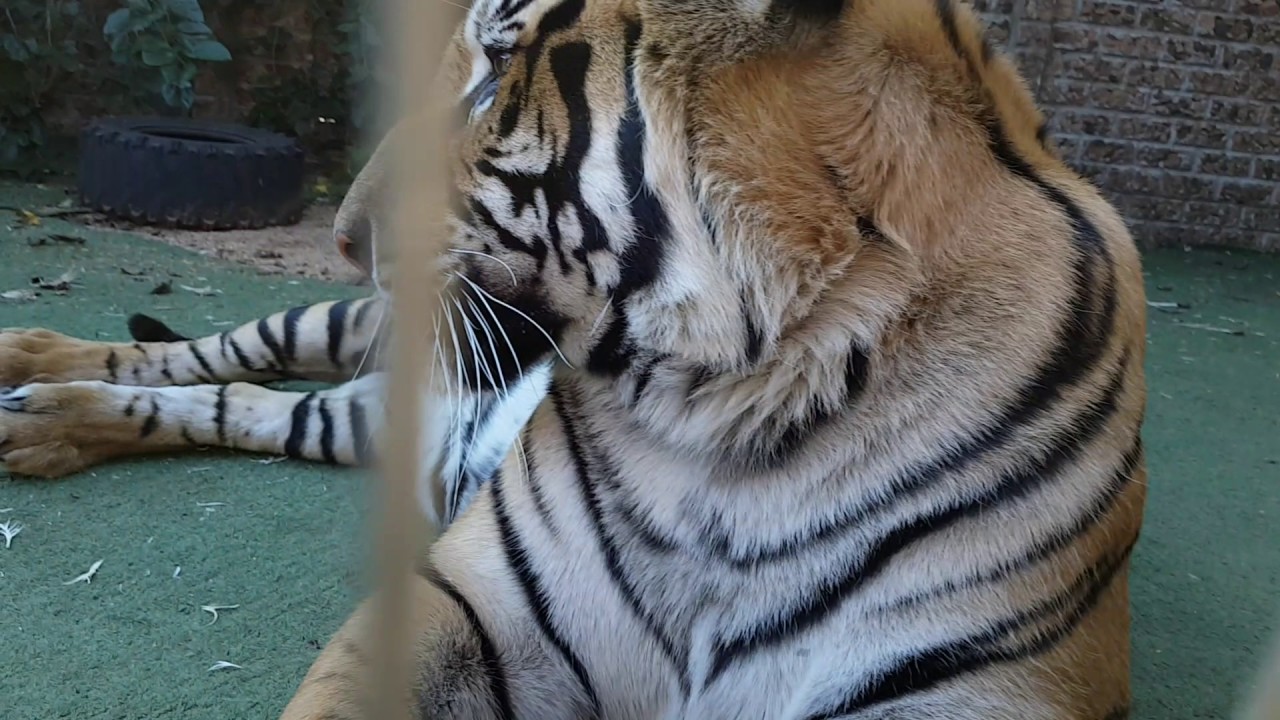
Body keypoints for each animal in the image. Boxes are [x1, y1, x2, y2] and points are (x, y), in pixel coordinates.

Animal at [0, 0, 1148, 717]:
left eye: (493, 71)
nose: (347, 236)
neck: (738, 408)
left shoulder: (980, 684)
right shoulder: (467, 602)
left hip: (358, 407)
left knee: (243, 405)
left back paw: (44, 420)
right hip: (341, 330)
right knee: (216, 353)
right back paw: (31, 365)